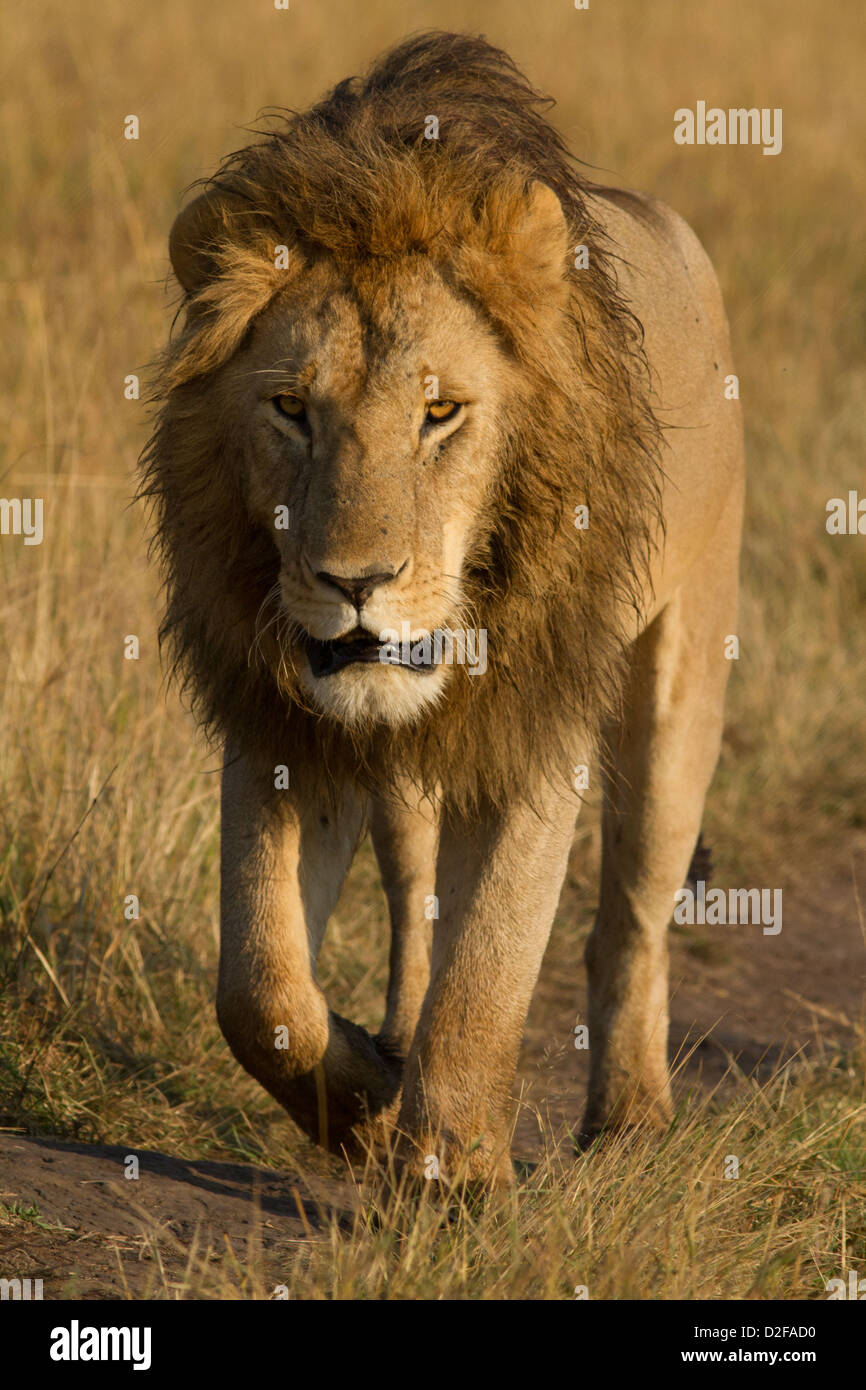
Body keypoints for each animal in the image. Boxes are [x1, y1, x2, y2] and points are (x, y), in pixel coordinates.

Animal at [140, 31, 744, 1187]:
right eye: (291, 408)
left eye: (440, 413)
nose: (354, 583)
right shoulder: (281, 720)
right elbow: (259, 986)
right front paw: (363, 1112)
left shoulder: (535, 725)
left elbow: (492, 967)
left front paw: (455, 1169)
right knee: (416, 898)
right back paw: (394, 1051)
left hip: (680, 673)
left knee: (631, 915)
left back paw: (631, 1121)